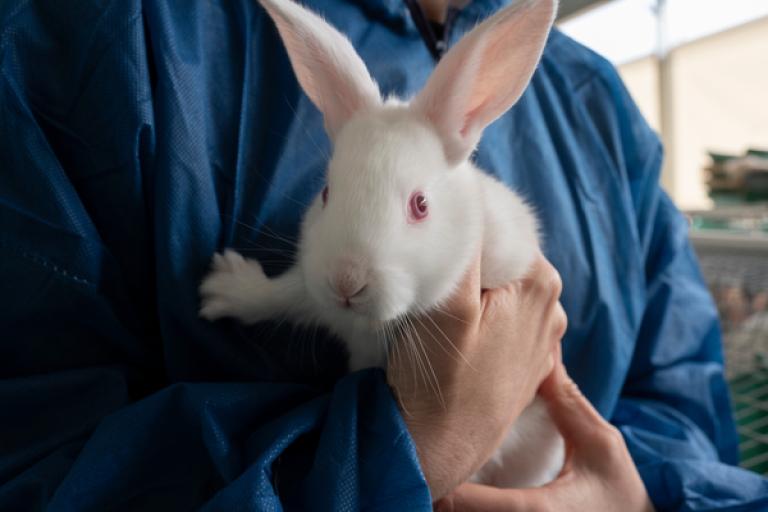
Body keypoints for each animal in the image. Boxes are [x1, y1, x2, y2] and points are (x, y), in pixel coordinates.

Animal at [200, 0, 564, 489]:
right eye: (326, 193)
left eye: (421, 205)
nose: (346, 282)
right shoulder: (317, 293)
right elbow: (285, 294)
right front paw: (223, 290)